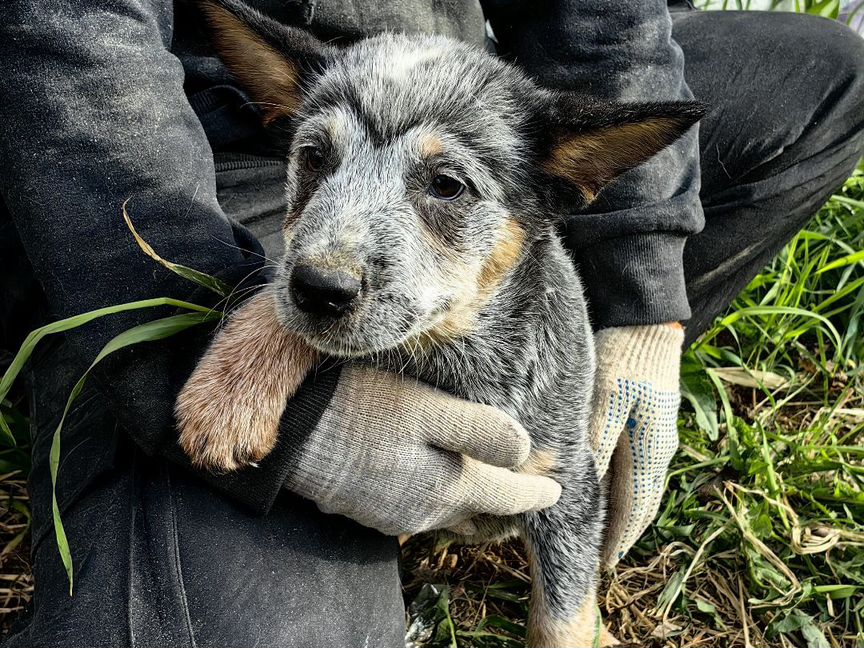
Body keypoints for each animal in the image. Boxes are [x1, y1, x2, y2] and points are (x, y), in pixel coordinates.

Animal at [177, 2, 704, 644]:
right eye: (315, 157)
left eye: (446, 184)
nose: (319, 288)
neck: (456, 359)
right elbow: (281, 288)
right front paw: (231, 387)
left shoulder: (568, 484)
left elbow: (562, 617)